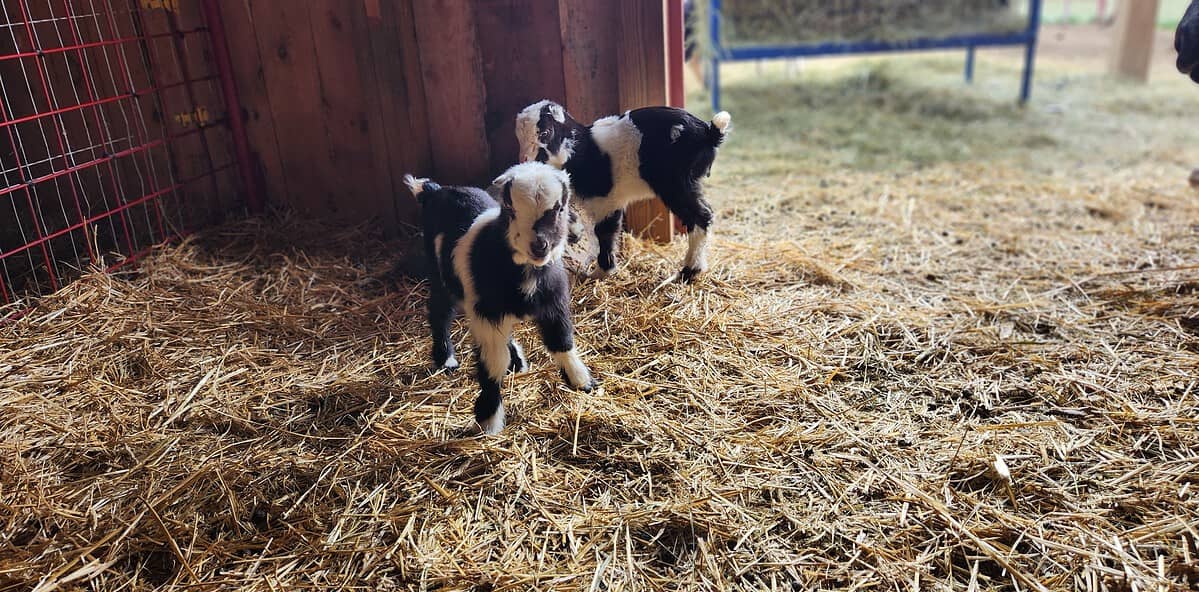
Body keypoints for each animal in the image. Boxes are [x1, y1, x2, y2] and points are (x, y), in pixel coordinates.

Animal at [404, 162, 595, 435]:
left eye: (559, 208)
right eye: (510, 209)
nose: (539, 245)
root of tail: (436, 190)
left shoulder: (554, 305)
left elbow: (562, 341)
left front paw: (582, 381)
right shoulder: (487, 314)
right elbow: (493, 363)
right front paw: (489, 419)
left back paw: (516, 360)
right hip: (441, 276)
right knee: (440, 313)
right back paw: (446, 359)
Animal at [515, 100, 731, 281]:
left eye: (544, 133)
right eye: (519, 137)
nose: (524, 160)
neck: (582, 151)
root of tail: (709, 132)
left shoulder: (606, 200)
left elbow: (605, 231)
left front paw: (601, 272)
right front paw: (575, 232)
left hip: (676, 183)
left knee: (701, 216)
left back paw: (689, 270)